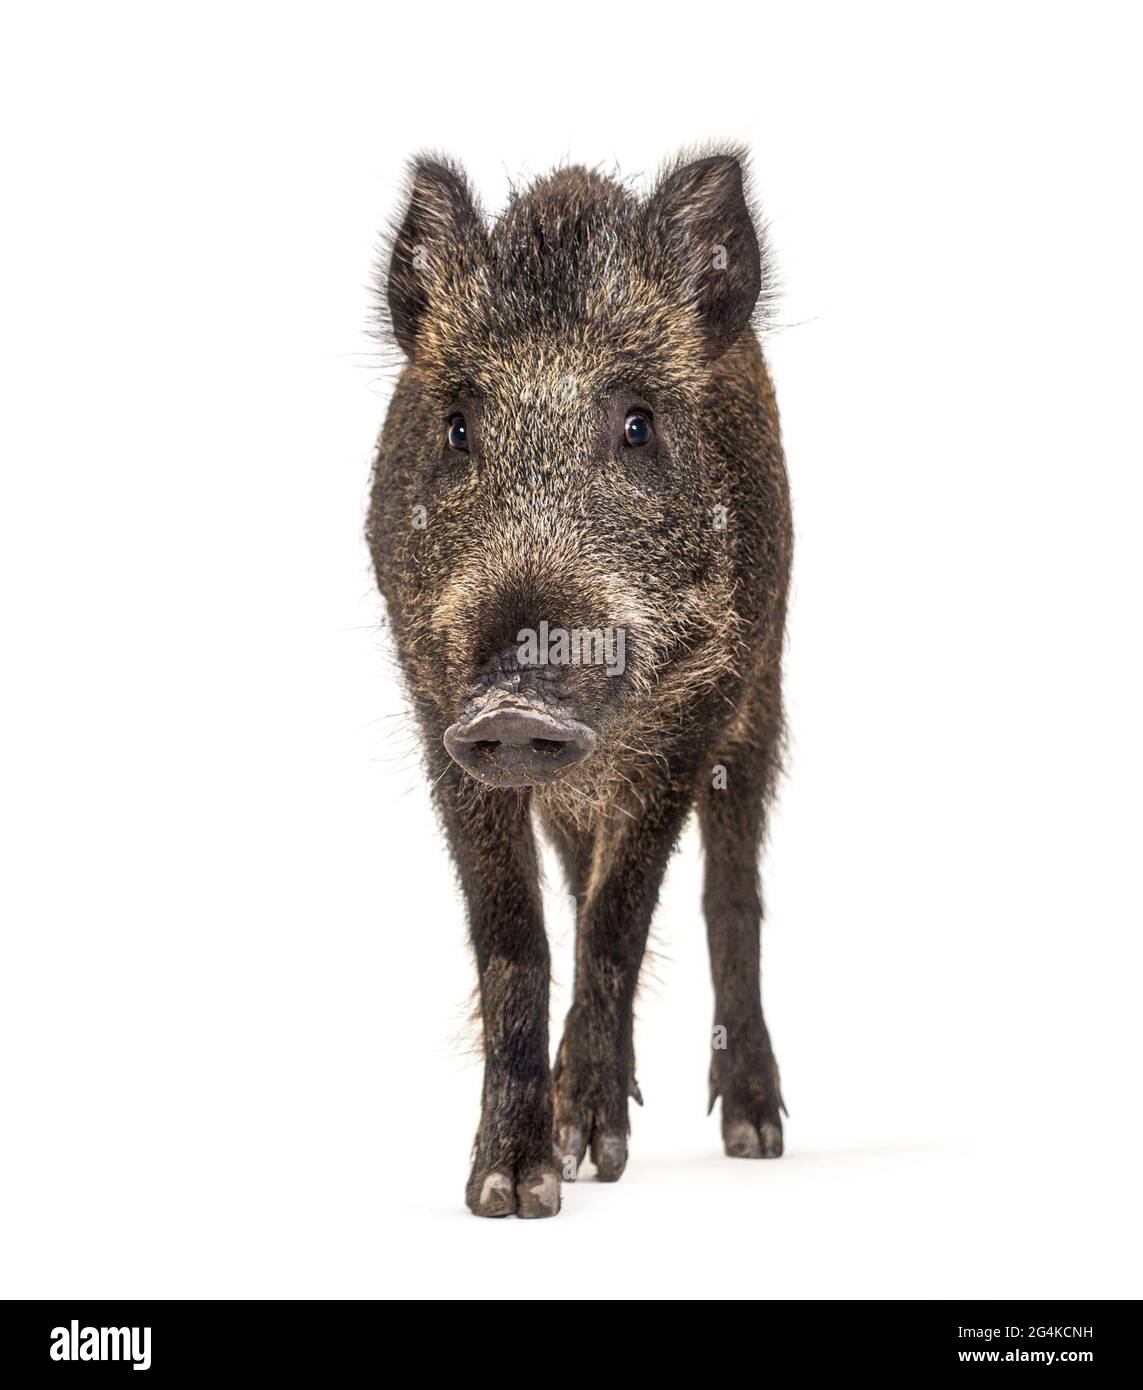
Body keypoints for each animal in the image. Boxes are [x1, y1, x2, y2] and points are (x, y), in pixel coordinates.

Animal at [368, 147, 791, 1218]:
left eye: (637, 426)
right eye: (457, 427)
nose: (516, 705)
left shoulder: (693, 719)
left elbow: (617, 917)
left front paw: (588, 1148)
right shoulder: (443, 721)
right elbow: (516, 935)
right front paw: (511, 1189)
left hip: (763, 701)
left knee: (730, 891)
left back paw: (754, 1134)